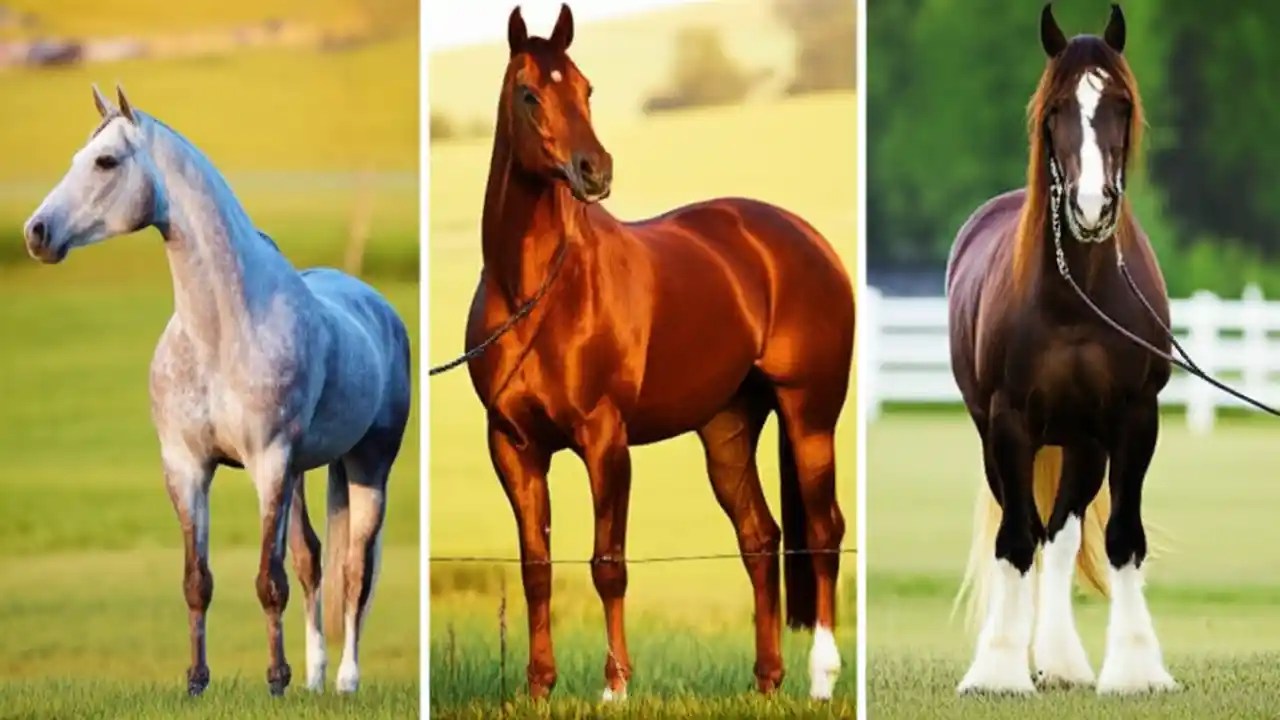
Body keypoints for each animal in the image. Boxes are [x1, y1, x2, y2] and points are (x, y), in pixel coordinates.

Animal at [22, 86, 411, 697]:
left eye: (106, 161)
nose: (36, 233)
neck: (221, 333)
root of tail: (375, 303)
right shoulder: (186, 466)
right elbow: (198, 580)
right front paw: (198, 680)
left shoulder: (269, 463)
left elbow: (268, 581)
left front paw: (275, 680)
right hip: (307, 472)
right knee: (312, 560)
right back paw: (316, 678)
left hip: (369, 463)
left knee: (356, 568)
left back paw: (346, 679)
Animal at [460, 4, 853, 702]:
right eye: (530, 94)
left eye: (586, 88)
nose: (595, 170)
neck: (536, 293)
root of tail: (806, 240)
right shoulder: (512, 444)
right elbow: (537, 566)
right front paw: (538, 687)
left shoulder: (604, 439)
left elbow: (607, 563)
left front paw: (615, 687)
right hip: (726, 431)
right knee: (761, 538)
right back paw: (766, 680)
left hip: (811, 417)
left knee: (823, 532)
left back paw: (821, 678)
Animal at [946, 3, 1177, 695]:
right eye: (1055, 110)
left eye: (1121, 104)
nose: (1091, 206)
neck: (1078, 302)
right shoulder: (1010, 421)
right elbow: (1014, 541)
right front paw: (998, 670)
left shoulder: (1134, 418)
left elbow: (1123, 537)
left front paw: (1135, 667)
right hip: (1003, 435)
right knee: (1020, 525)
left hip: (1083, 441)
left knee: (1060, 534)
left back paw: (1061, 659)